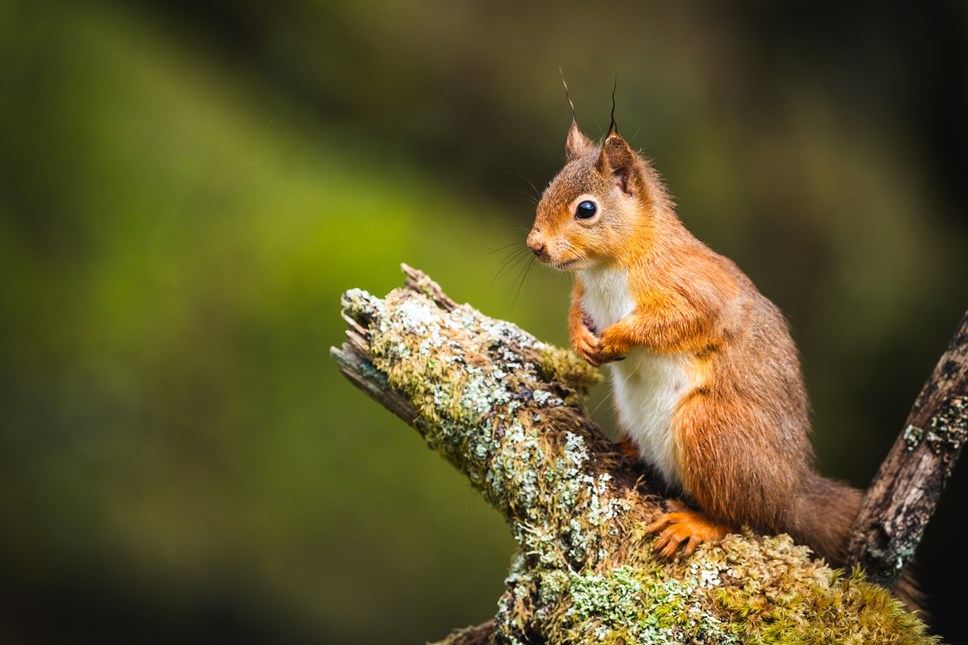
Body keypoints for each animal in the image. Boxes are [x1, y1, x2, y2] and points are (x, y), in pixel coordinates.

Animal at [525, 115, 867, 571]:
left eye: (586, 209)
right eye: (548, 189)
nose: (535, 246)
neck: (606, 268)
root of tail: (789, 495)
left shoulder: (698, 292)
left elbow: (678, 322)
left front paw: (617, 336)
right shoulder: (584, 291)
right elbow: (577, 311)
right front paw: (581, 338)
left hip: (711, 430)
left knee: (740, 516)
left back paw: (697, 524)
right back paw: (628, 448)